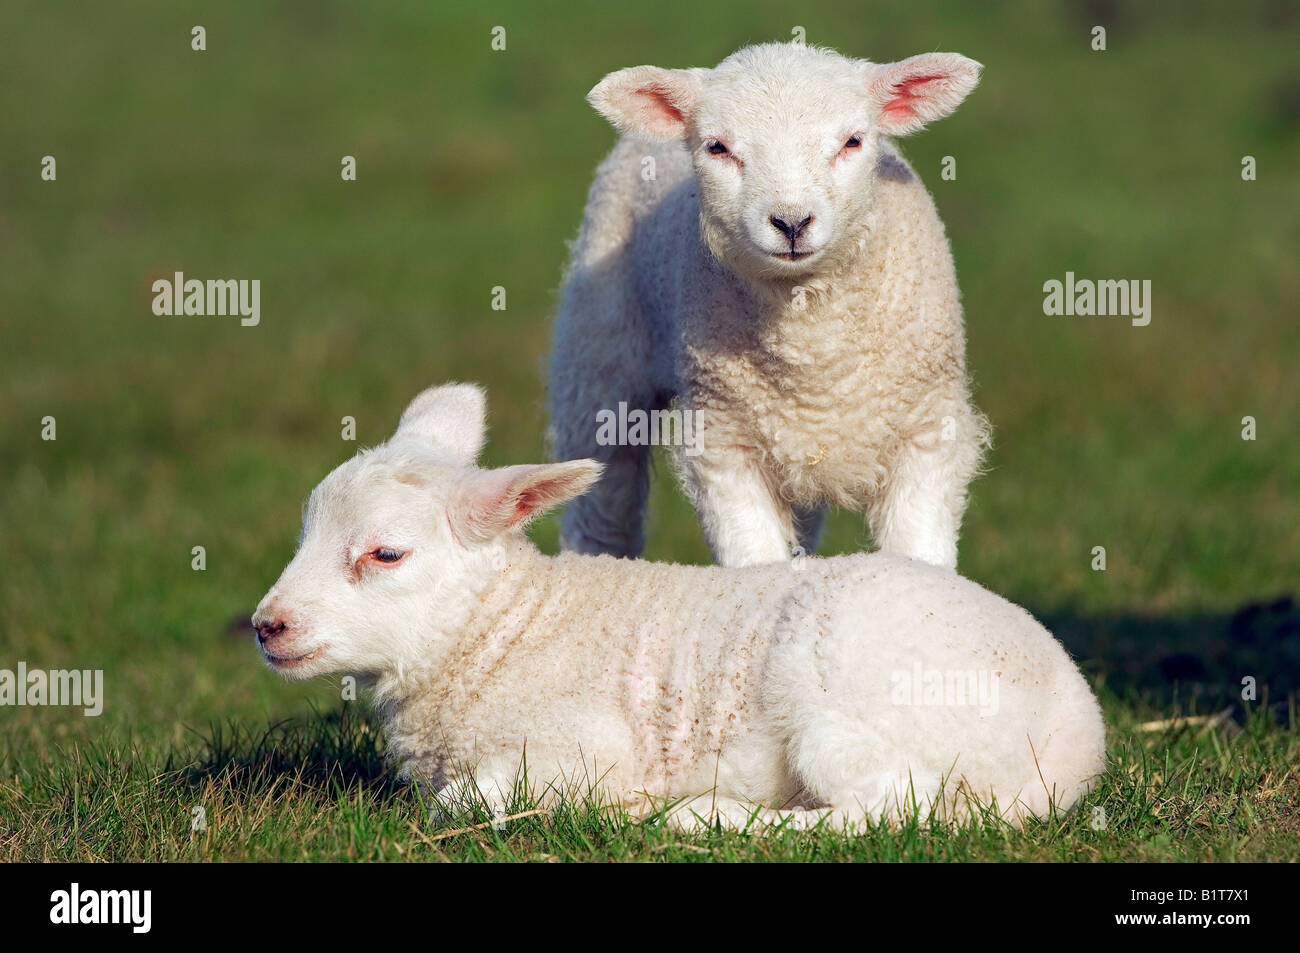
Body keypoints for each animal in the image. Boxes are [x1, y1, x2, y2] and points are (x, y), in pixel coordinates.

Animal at [251, 383, 1105, 830]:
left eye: (385, 553)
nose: (268, 626)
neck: (503, 633)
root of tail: (1077, 742)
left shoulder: (576, 744)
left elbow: (465, 802)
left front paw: (622, 805)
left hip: (852, 708)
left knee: (889, 809)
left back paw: (706, 816)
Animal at [550, 42, 990, 570]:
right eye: (717, 147)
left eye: (853, 142)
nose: (792, 222)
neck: (813, 353)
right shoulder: (724, 441)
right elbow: (756, 563)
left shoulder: (927, 433)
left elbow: (917, 554)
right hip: (598, 360)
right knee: (603, 509)